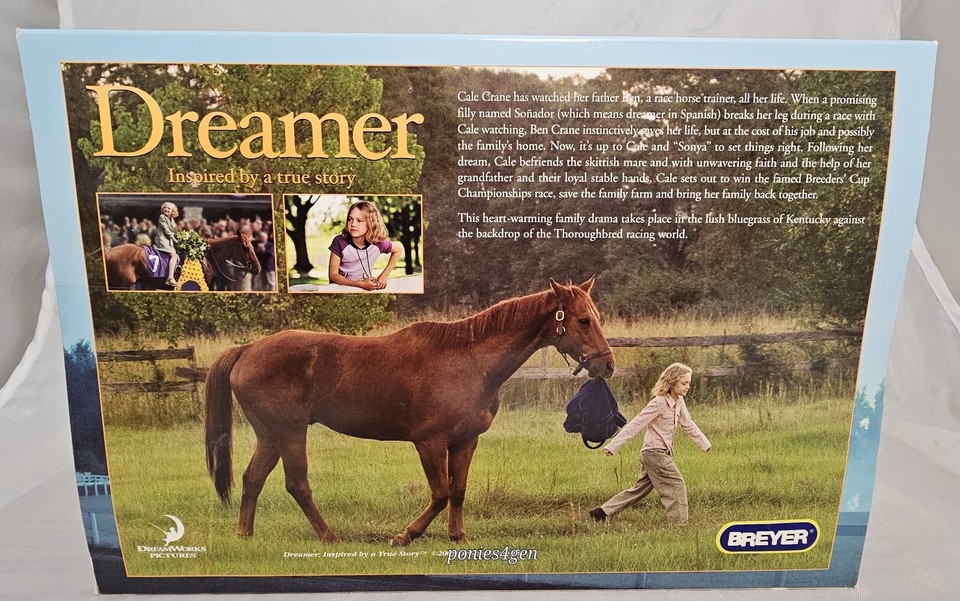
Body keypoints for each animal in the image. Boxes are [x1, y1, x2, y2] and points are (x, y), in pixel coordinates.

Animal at [204, 277, 615, 546]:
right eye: (583, 320)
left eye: (597, 315)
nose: (607, 365)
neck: (469, 362)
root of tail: (247, 349)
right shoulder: (429, 442)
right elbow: (440, 493)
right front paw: (406, 535)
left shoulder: (465, 440)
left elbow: (458, 490)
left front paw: (457, 536)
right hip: (290, 432)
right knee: (297, 484)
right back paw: (329, 536)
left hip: (270, 434)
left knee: (252, 479)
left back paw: (246, 534)